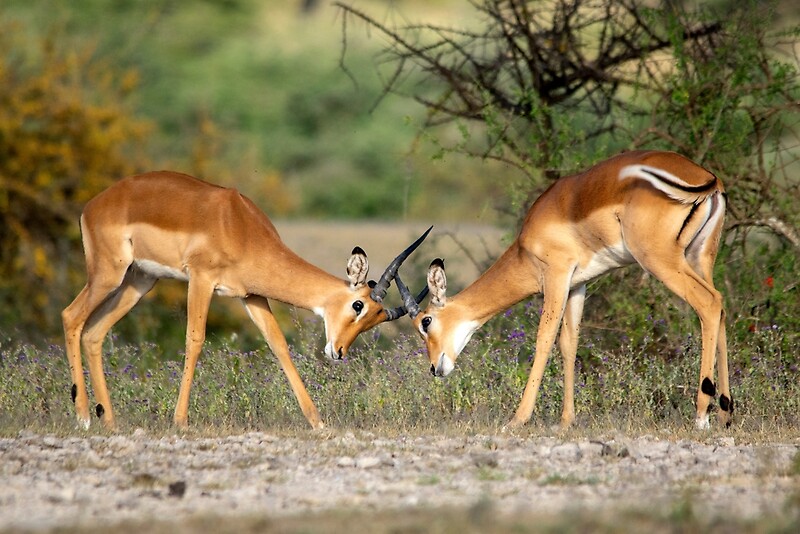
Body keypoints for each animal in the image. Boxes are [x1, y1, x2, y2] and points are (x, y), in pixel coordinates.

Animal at [62, 171, 431, 430]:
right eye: (358, 305)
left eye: (374, 320)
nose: (338, 352)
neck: (239, 226)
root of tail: (92, 206)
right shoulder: (201, 280)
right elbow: (195, 340)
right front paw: (180, 421)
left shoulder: (252, 296)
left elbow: (278, 345)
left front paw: (317, 421)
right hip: (108, 274)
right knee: (71, 316)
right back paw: (83, 417)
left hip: (140, 281)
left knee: (94, 333)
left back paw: (109, 421)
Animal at [397, 150, 732, 430]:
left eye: (426, 322)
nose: (435, 368)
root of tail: (707, 179)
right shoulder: (577, 284)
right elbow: (569, 344)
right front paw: (566, 421)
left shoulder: (556, 276)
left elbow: (544, 339)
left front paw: (517, 419)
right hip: (701, 258)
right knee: (720, 305)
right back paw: (725, 412)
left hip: (660, 260)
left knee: (708, 303)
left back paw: (702, 416)